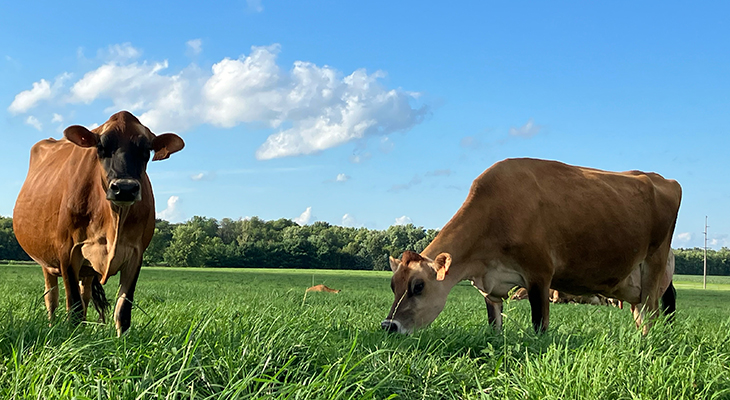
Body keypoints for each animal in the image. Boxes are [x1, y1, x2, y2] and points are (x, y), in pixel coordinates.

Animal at [13, 111, 184, 335]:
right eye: (101, 147)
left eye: (146, 150)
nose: (125, 188)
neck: (113, 222)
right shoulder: (68, 251)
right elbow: (74, 306)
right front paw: (73, 339)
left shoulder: (136, 254)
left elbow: (123, 309)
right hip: (46, 262)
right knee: (52, 297)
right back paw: (52, 325)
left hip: (87, 270)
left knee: (85, 296)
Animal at [381, 158, 681, 335]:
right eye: (393, 285)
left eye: (419, 286)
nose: (388, 326)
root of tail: (662, 179)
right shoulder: (490, 288)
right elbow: (494, 327)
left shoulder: (540, 275)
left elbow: (539, 327)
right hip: (634, 289)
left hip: (653, 269)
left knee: (652, 316)